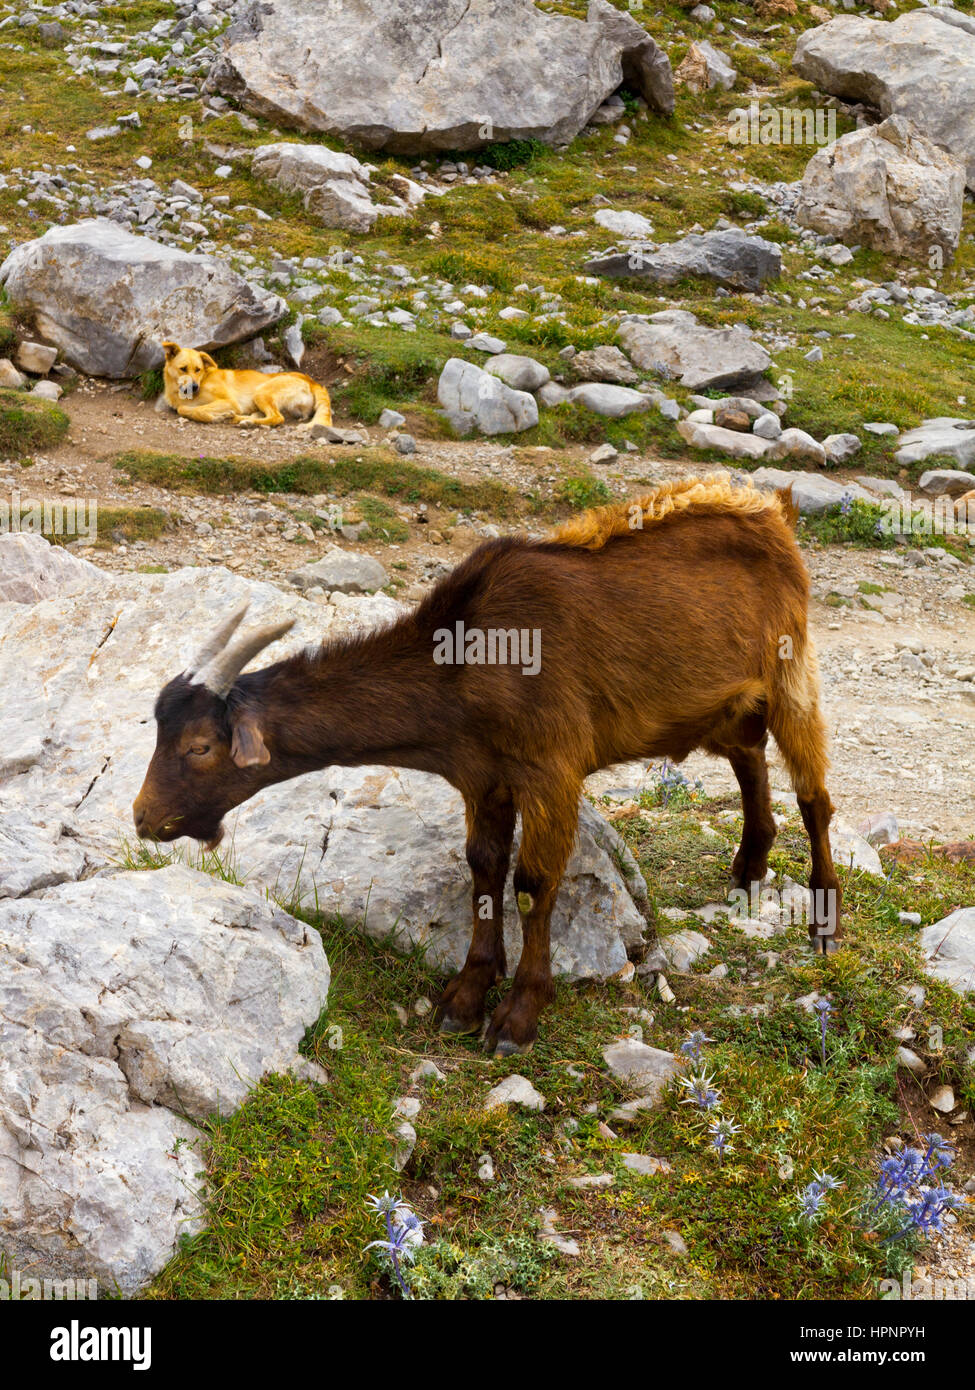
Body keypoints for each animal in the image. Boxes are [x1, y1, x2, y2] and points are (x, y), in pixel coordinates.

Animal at [133, 475, 842, 1056]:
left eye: (199, 746)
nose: (143, 818)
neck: (468, 661)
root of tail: (772, 511)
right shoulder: (482, 776)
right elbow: (482, 867)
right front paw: (465, 997)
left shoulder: (551, 768)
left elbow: (531, 882)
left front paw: (517, 1017)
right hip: (725, 700)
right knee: (748, 755)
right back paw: (748, 868)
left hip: (790, 668)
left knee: (815, 796)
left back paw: (823, 921)